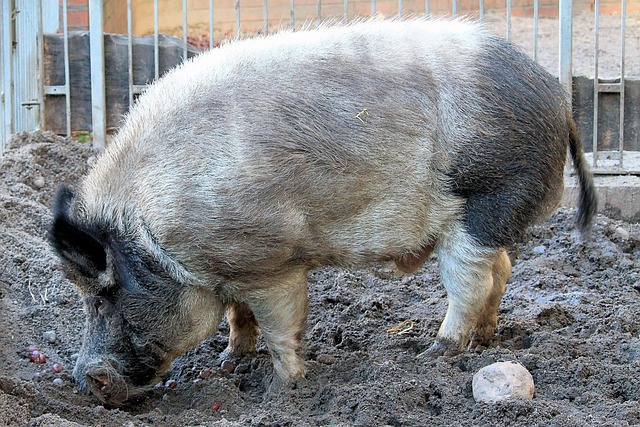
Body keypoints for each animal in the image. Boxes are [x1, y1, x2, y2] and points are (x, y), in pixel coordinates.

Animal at [49, 18, 597, 405]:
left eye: (101, 299)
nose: (83, 380)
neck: (152, 225)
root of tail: (560, 99)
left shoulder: (269, 260)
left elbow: (279, 325)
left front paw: (283, 390)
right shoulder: (232, 265)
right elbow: (237, 315)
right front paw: (228, 362)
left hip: (486, 200)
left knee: (473, 281)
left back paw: (433, 353)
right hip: (487, 215)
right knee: (502, 269)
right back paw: (483, 340)